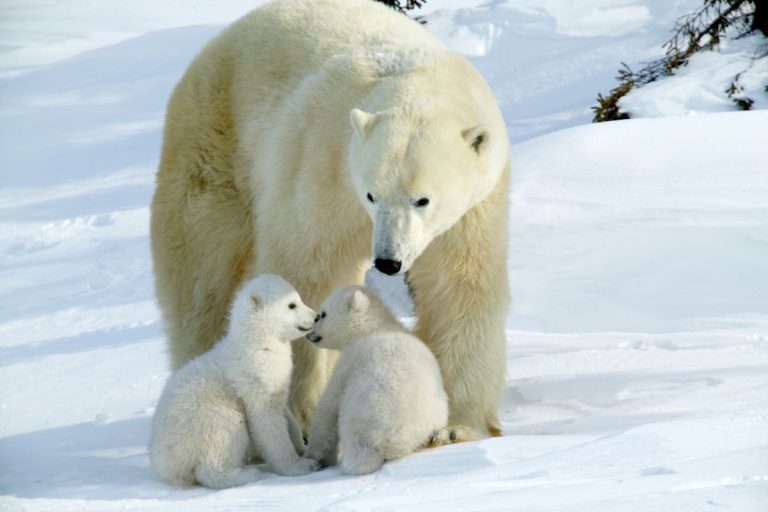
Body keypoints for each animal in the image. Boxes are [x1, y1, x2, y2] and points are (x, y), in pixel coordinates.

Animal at [149, 275, 320, 488]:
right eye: (291, 304)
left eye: (298, 298)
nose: (316, 316)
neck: (257, 343)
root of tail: (164, 464)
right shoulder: (254, 377)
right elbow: (267, 422)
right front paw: (300, 465)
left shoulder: (276, 380)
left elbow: (285, 413)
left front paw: (302, 446)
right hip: (204, 420)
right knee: (223, 436)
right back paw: (245, 474)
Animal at [150, 0, 510, 440]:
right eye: (372, 194)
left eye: (422, 200)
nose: (388, 261)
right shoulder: (324, 165)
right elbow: (305, 269)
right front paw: (302, 415)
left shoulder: (474, 208)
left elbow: (458, 286)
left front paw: (457, 425)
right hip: (214, 142)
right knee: (203, 276)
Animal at [303, 285, 449, 474]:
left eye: (323, 314)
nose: (309, 334)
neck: (375, 327)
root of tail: (389, 443)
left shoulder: (349, 360)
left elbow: (328, 407)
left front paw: (312, 455)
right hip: (435, 412)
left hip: (364, 411)